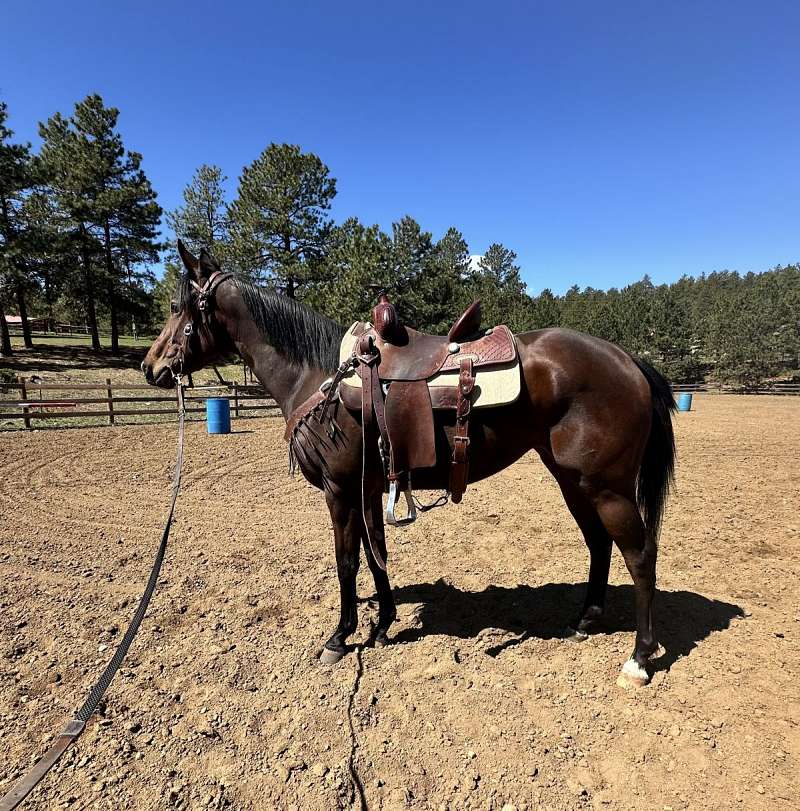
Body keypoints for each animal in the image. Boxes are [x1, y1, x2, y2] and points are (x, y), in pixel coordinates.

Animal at [142, 242, 676, 689]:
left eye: (177, 308)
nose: (151, 368)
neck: (320, 378)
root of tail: (629, 360)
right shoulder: (369, 488)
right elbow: (375, 553)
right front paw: (382, 624)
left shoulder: (340, 491)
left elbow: (347, 561)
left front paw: (340, 636)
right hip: (574, 482)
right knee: (599, 544)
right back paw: (584, 621)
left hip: (607, 488)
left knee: (640, 556)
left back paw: (639, 658)